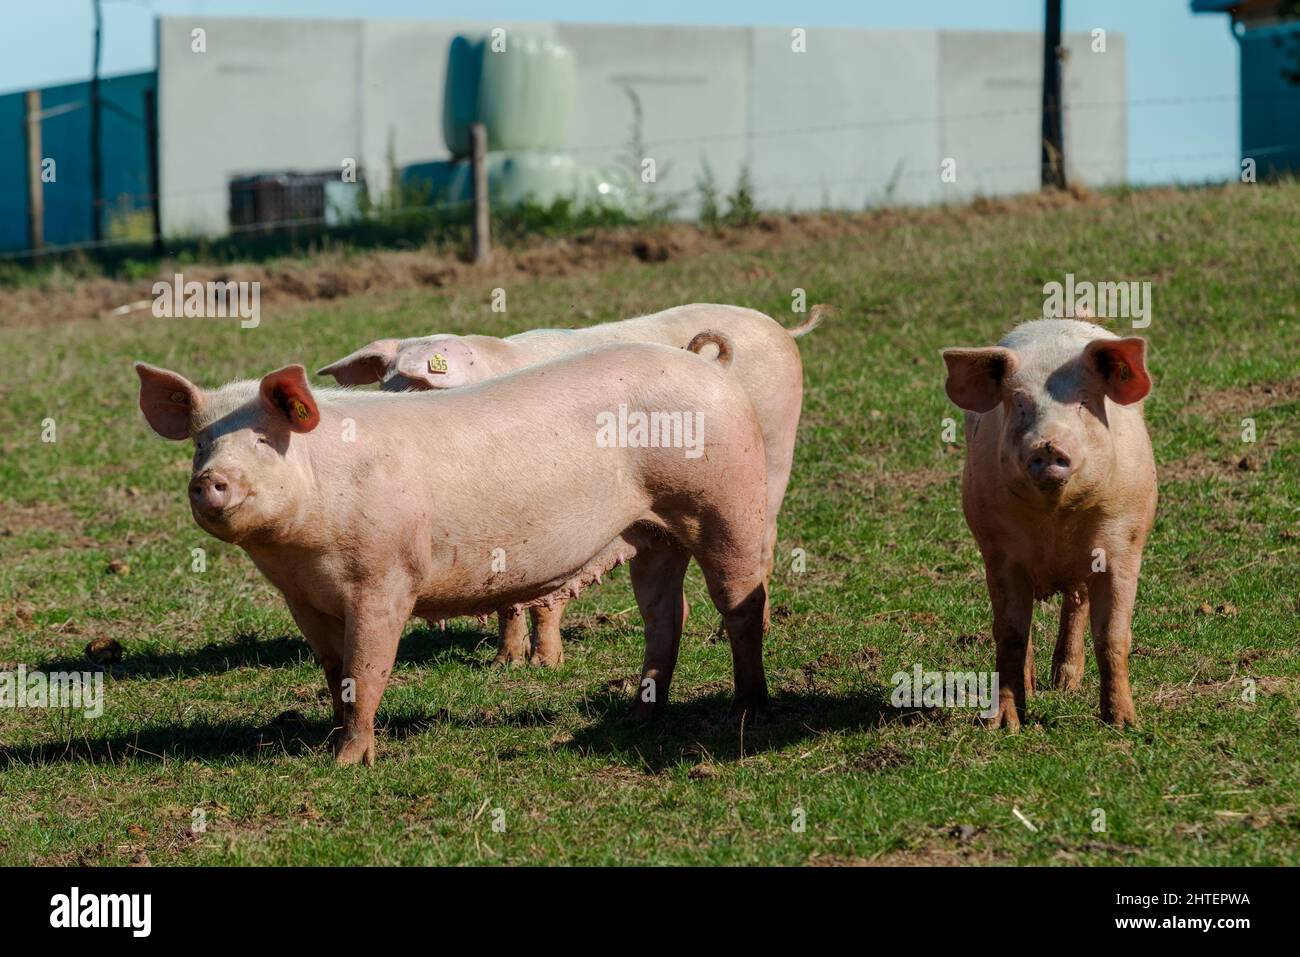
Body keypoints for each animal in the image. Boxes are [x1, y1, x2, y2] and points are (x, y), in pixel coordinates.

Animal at [134, 336, 771, 765]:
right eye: (201, 444)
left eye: (266, 441)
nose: (211, 480)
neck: (302, 550)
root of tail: (712, 366)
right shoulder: (304, 601)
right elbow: (334, 672)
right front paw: (330, 742)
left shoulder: (386, 579)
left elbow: (366, 669)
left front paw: (350, 763)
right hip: (653, 534)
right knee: (666, 613)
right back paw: (638, 716)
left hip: (728, 501)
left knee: (740, 603)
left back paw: (746, 710)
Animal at [317, 303, 824, 668]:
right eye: (386, 381)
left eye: (422, 382)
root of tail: (781, 328)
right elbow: (508, 599)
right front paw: (505, 662)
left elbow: (546, 596)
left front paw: (545, 665)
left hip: (774, 452)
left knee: (763, 543)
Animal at [941, 319, 1156, 729]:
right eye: (1019, 404)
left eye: (1084, 403)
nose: (1048, 445)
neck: (1057, 518)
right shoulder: (998, 552)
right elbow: (1010, 634)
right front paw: (1003, 726)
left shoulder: (1124, 544)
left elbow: (1112, 635)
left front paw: (1126, 724)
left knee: (1077, 603)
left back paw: (1065, 684)